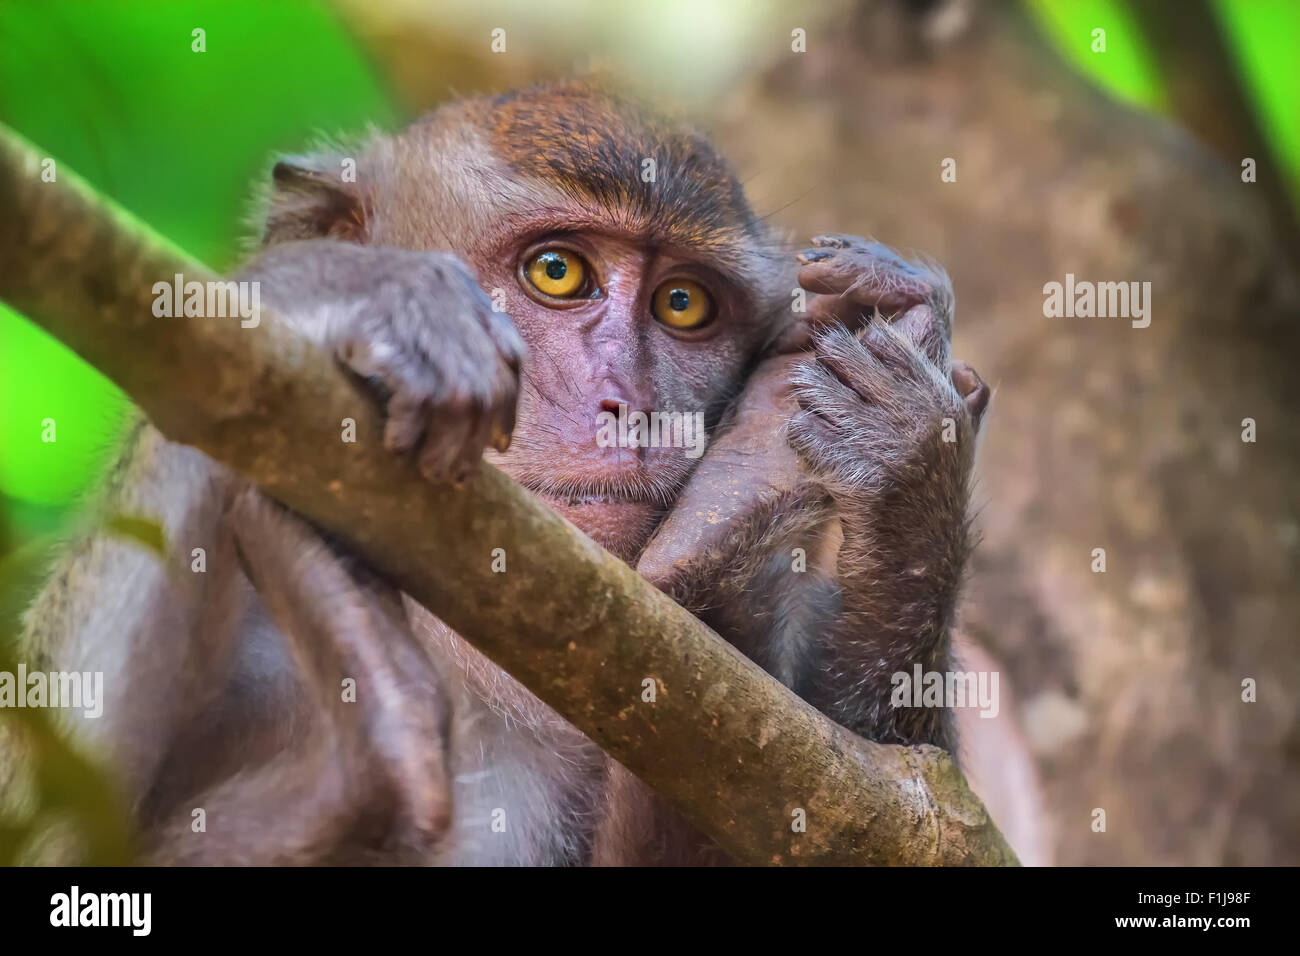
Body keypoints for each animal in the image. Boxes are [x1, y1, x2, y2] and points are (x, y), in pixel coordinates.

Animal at [10, 81, 988, 865]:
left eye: (682, 303)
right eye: (557, 272)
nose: (632, 403)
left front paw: (900, 452)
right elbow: (58, 824)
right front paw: (338, 285)